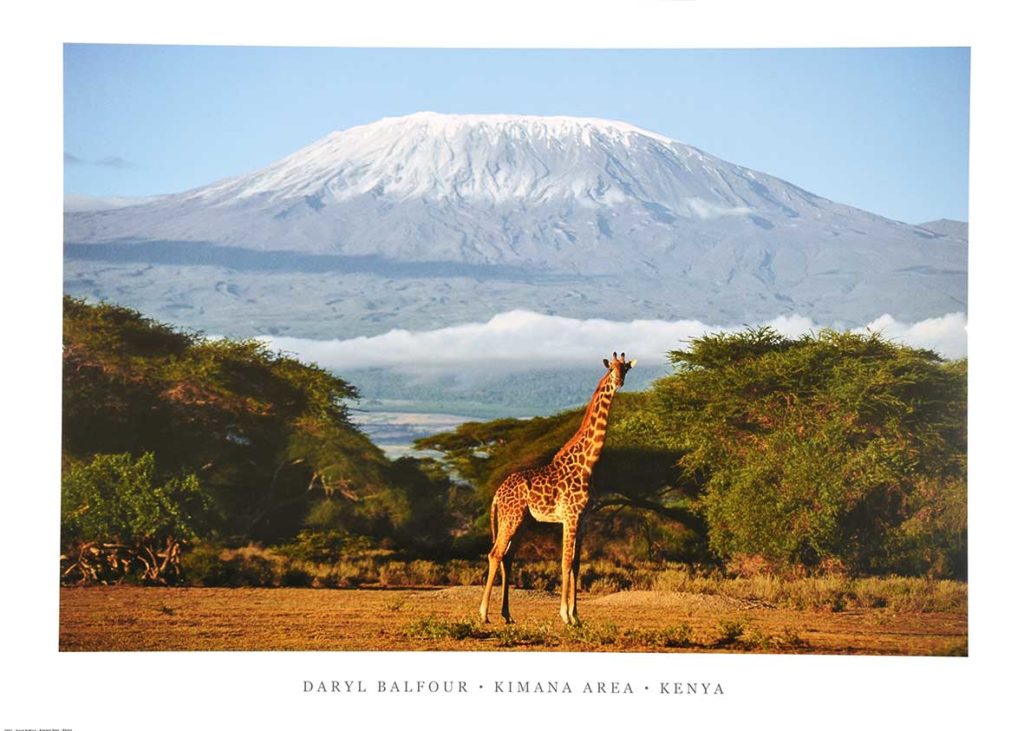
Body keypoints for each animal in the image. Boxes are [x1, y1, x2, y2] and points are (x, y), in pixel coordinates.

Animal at [479, 352, 636, 626]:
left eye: (625, 368)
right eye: (612, 369)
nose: (619, 382)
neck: (587, 464)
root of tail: (497, 494)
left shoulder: (583, 519)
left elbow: (576, 564)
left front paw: (577, 617)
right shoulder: (570, 516)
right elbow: (564, 563)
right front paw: (565, 615)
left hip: (522, 521)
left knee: (508, 556)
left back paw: (507, 614)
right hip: (511, 517)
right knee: (495, 554)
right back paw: (484, 613)